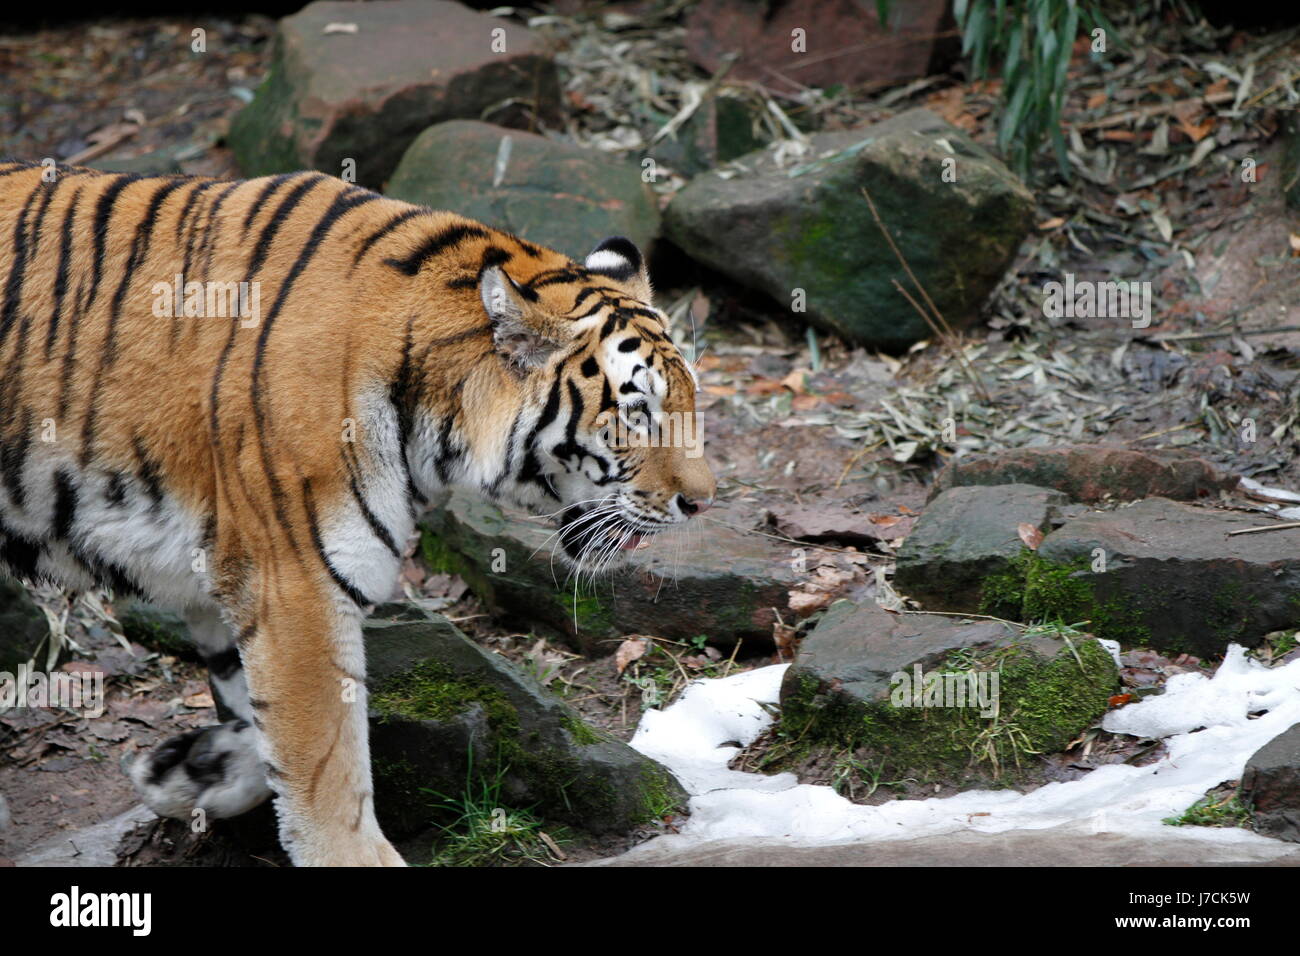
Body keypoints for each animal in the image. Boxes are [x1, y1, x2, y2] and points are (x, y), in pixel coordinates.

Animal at [0, 160, 715, 866]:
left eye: (688, 401)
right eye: (638, 413)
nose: (704, 501)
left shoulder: (228, 571)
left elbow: (260, 725)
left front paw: (192, 772)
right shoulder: (295, 583)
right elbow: (326, 764)